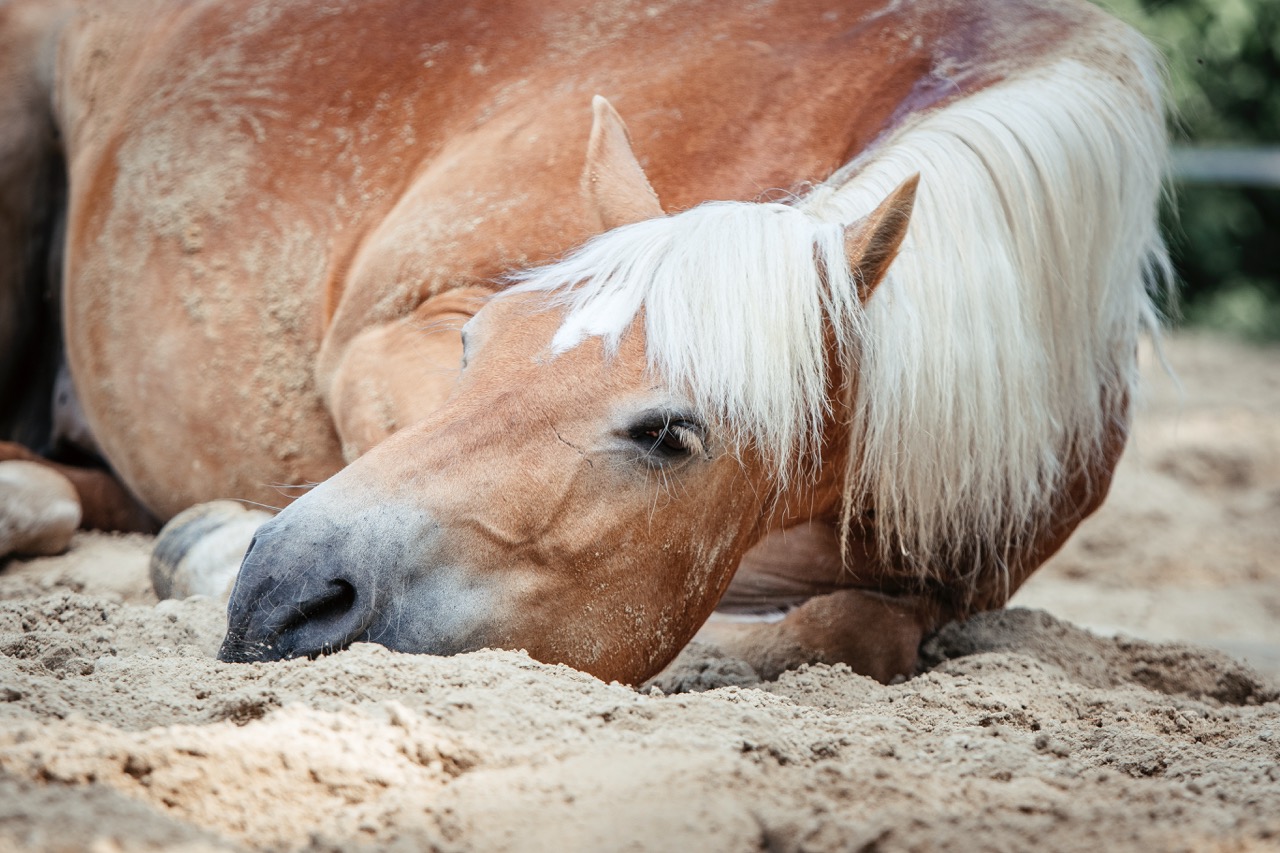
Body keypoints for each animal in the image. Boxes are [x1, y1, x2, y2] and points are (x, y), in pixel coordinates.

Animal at [0, 0, 1168, 685]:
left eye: (668, 434)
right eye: (476, 343)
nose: (279, 589)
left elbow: (853, 631)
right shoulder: (390, 340)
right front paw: (212, 551)